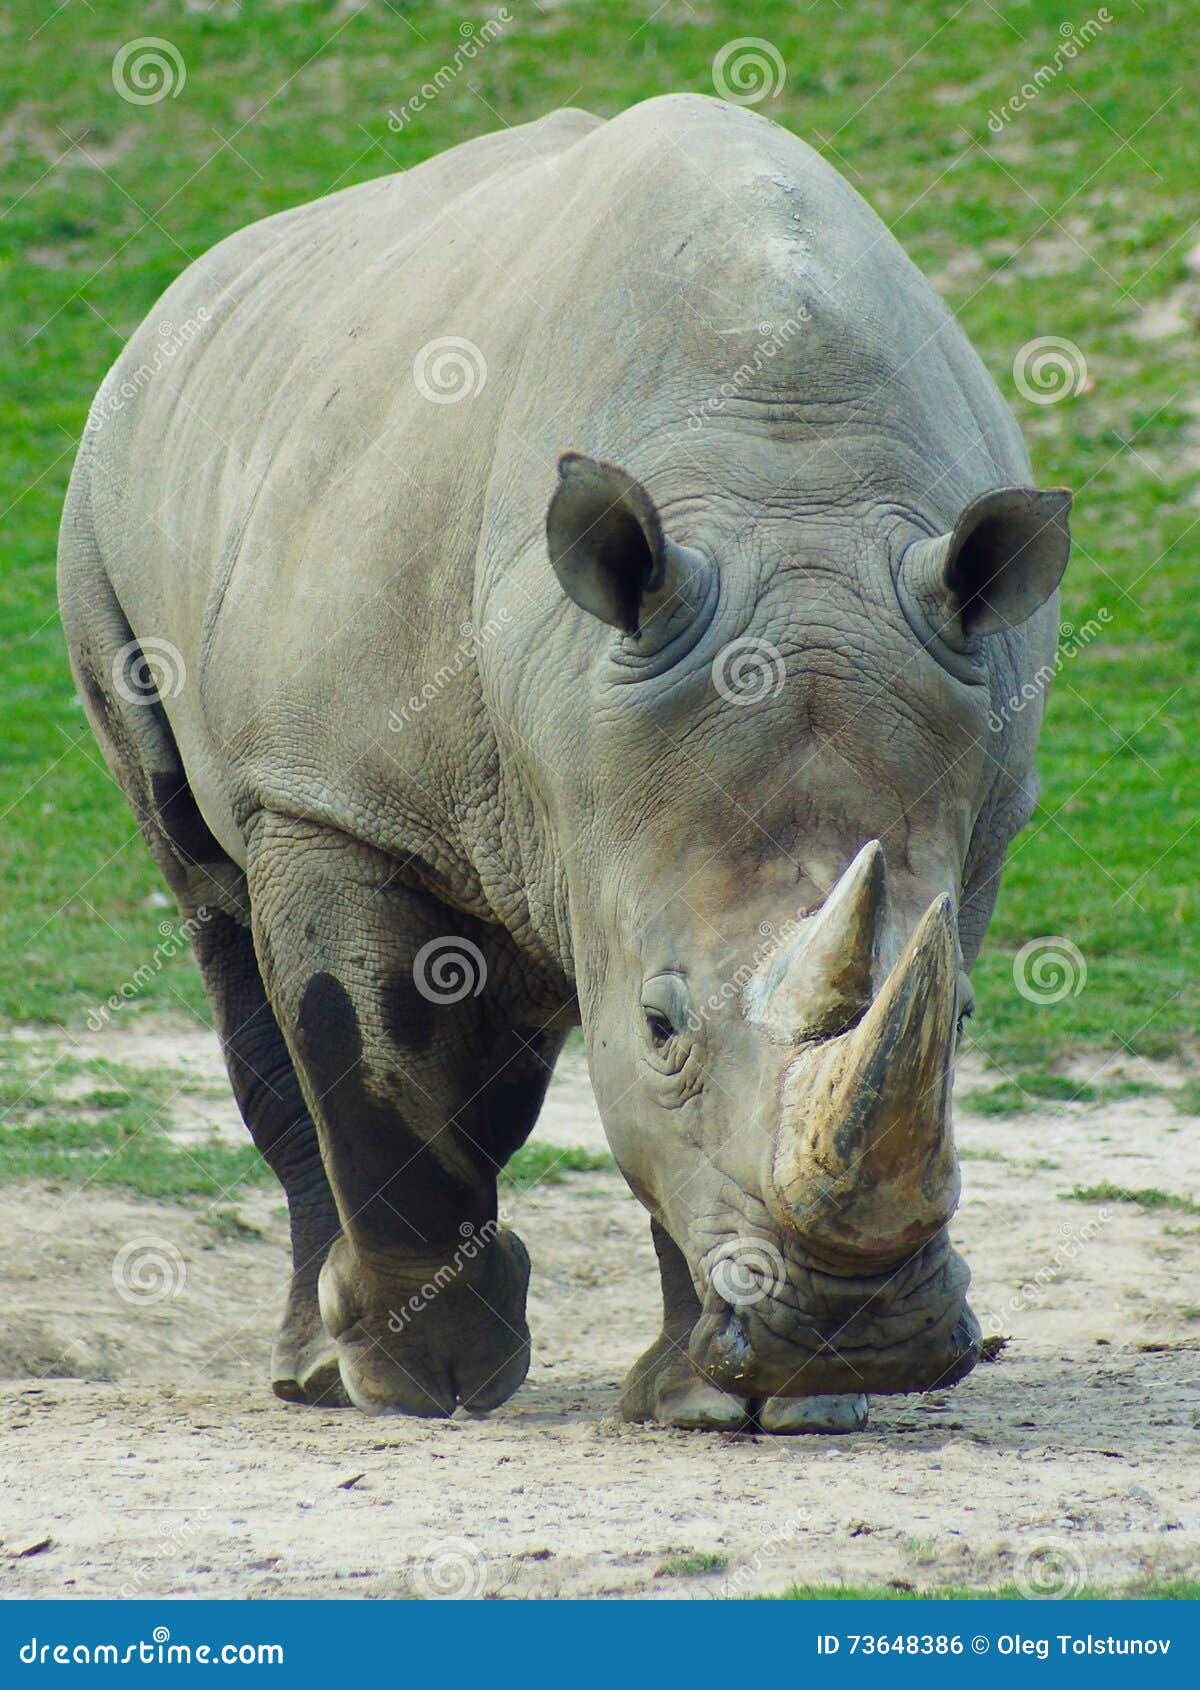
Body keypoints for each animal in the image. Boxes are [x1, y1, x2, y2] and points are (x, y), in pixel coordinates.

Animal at [59, 95, 1070, 1431]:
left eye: (962, 1018)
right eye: (660, 1023)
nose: (854, 1337)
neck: (783, 493)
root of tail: (190, 289)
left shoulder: (981, 813)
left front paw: (726, 1402)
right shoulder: (334, 800)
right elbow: (373, 1054)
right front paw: (424, 1383)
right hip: (102, 503)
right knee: (210, 896)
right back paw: (319, 1375)